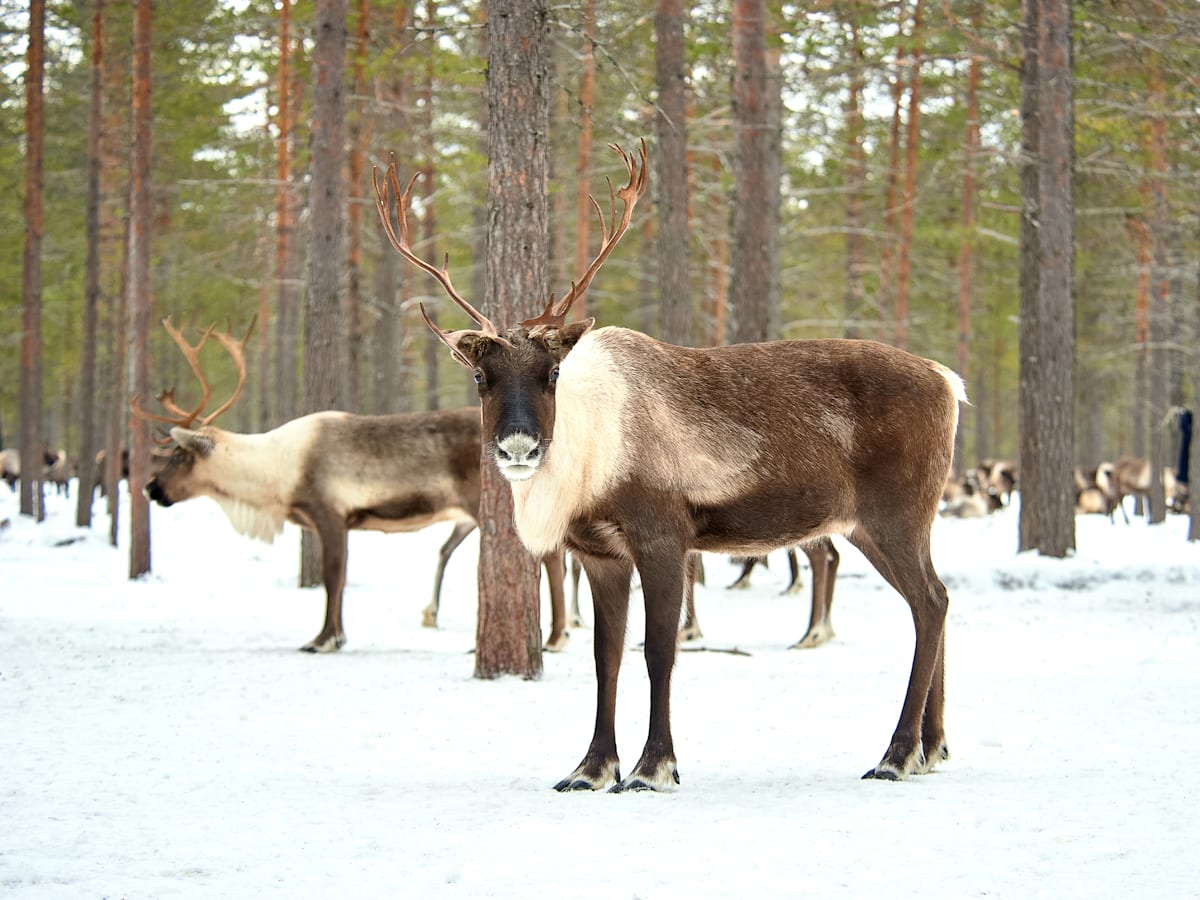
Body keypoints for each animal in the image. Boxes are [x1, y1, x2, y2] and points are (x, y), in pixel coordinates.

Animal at [136, 318, 572, 653]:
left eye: (179, 457)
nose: (150, 488)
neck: (275, 475)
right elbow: (340, 577)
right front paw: (337, 636)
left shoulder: (329, 513)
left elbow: (334, 577)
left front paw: (324, 639)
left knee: (551, 556)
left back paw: (555, 637)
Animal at [374, 140, 966, 789]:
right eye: (481, 377)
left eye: (551, 373)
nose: (519, 447)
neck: (588, 468)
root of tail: (948, 379)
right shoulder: (599, 553)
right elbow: (605, 657)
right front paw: (590, 767)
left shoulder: (662, 536)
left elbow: (659, 652)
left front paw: (652, 766)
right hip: (875, 527)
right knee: (934, 600)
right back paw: (932, 748)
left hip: (895, 515)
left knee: (931, 603)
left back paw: (895, 755)